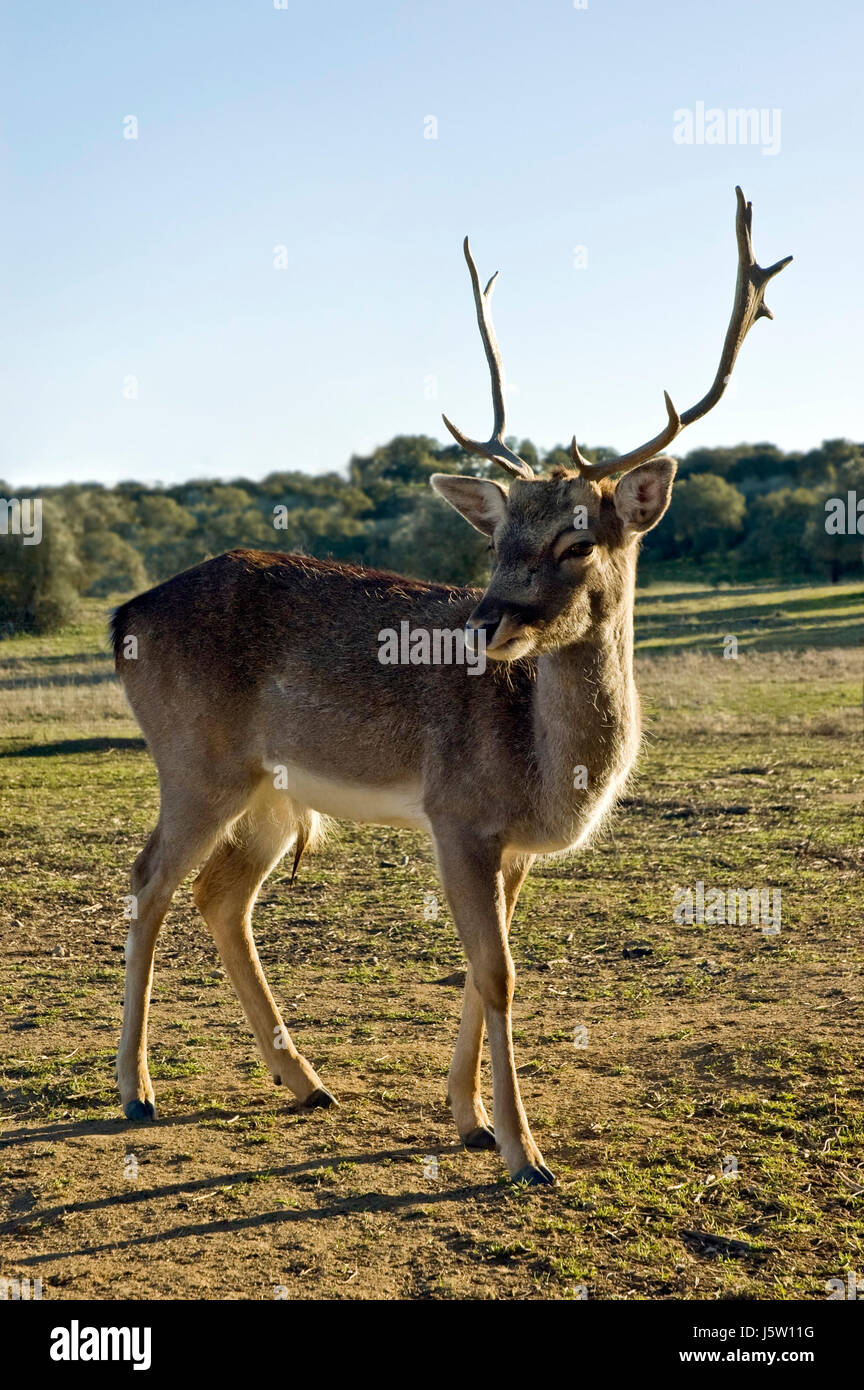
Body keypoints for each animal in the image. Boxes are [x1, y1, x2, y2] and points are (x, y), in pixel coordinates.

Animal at [113, 188, 790, 1185]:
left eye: (579, 538)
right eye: (498, 534)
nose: (483, 622)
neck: (551, 777)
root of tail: (124, 617)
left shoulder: (509, 845)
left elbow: (480, 967)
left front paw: (467, 1117)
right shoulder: (457, 812)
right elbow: (499, 971)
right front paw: (524, 1151)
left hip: (270, 790)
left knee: (220, 895)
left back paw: (305, 1080)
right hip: (197, 761)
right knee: (149, 880)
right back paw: (136, 1091)